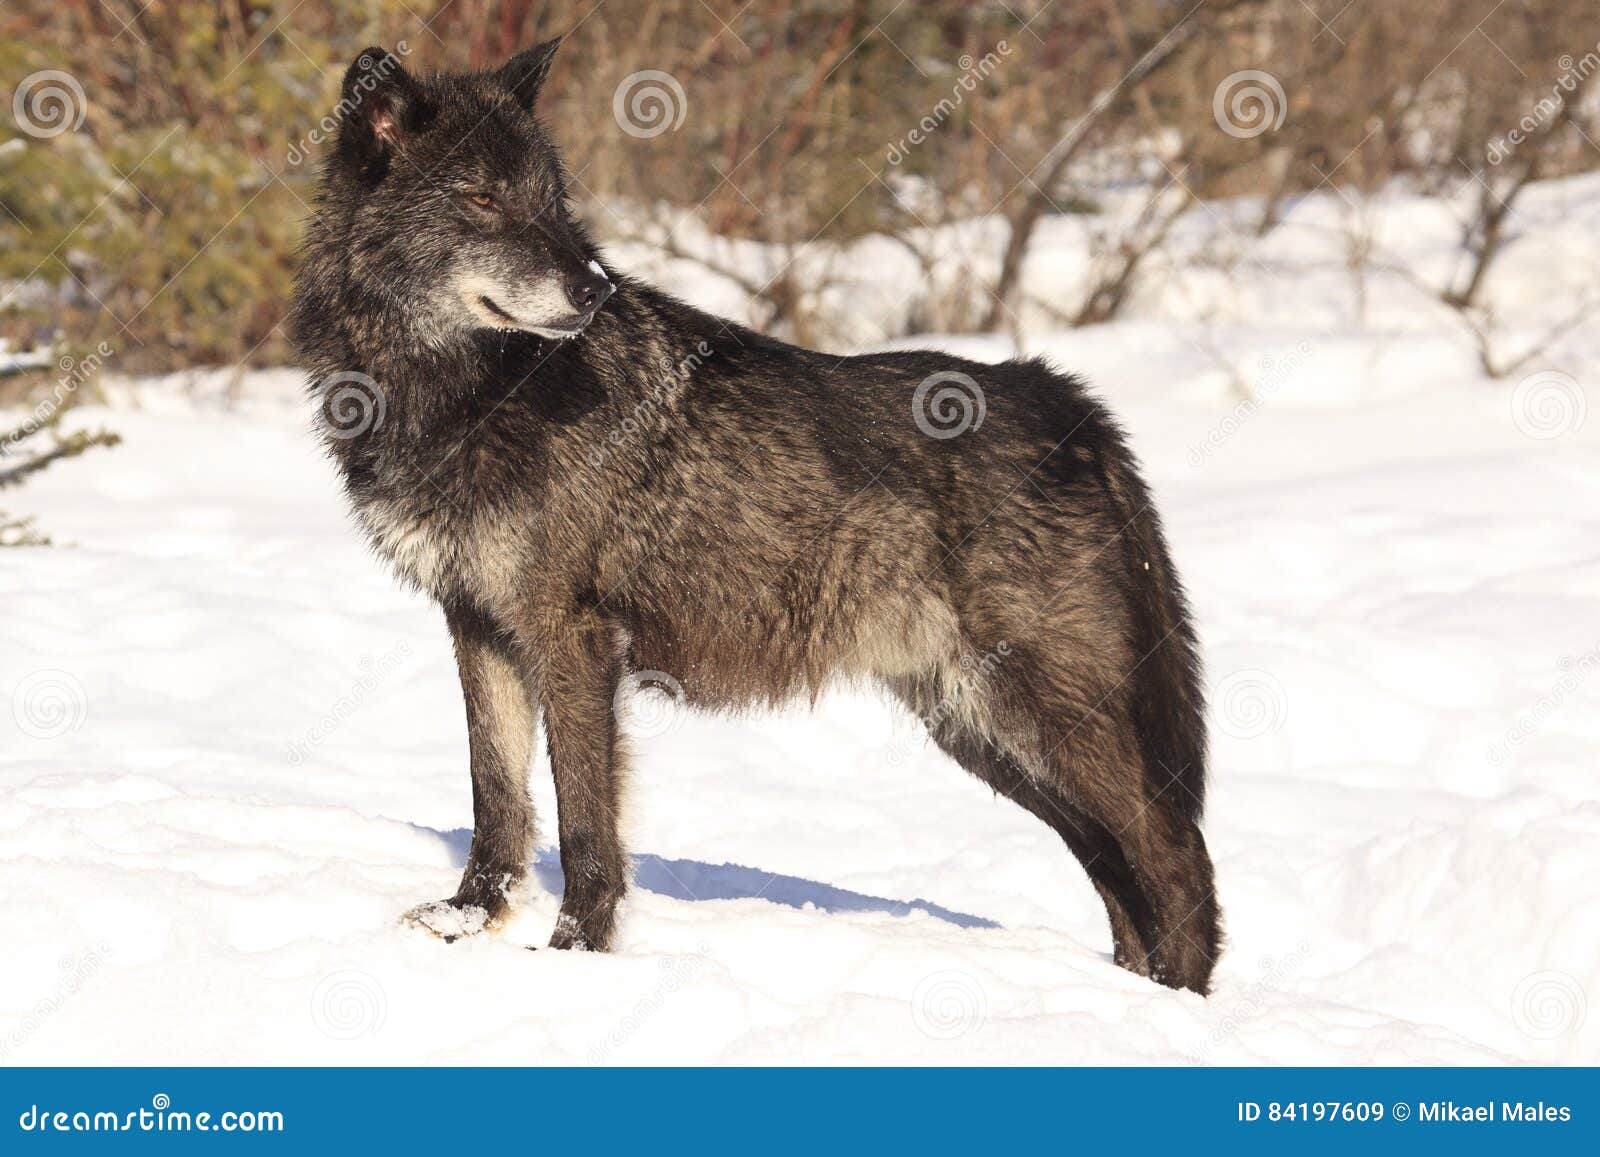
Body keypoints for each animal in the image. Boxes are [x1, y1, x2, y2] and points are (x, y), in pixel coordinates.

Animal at [289, 39, 1222, 992]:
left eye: (551, 199)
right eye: (480, 197)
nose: (590, 290)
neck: (468, 391)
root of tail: (1066, 397)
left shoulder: (570, 637)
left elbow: (585, 823)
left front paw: (576, 955)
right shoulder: (478, 626)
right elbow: (497, 800)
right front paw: (463, 921)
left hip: (1043, 713)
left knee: (1174, 850)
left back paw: (1179, 1003)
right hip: (980, 728)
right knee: (1115, 862)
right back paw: (1130, 991)